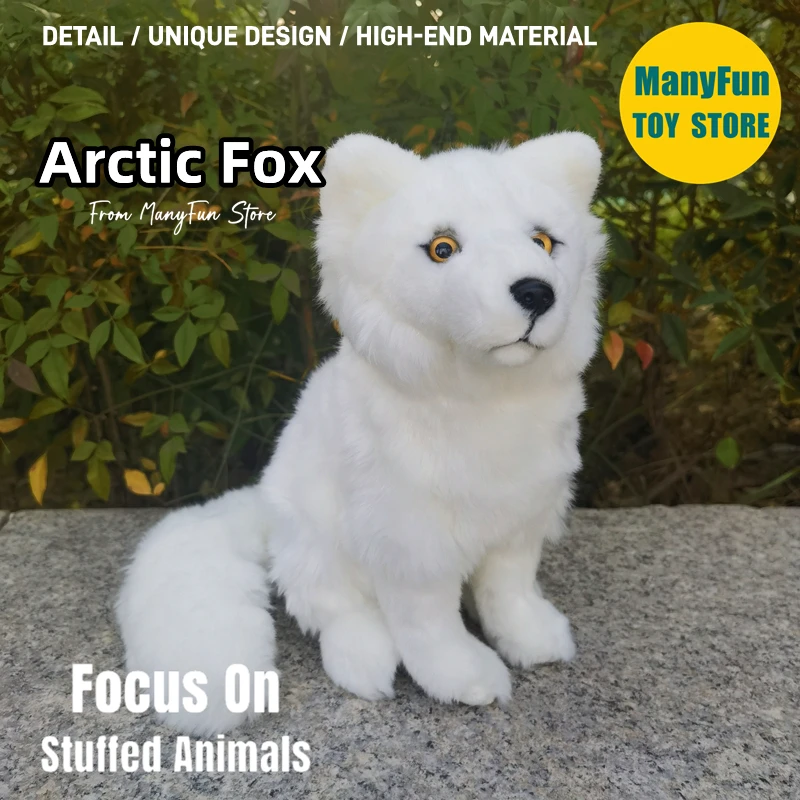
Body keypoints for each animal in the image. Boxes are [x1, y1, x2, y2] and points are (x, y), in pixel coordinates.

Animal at [116, 131, 606, 734]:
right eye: (442, 249)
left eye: (543, 241)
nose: (536, 292)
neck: (484, 400)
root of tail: (263, 506)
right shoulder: (410, 544)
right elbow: (429, 626)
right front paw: (463, 678)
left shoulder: (520, 522)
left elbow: (507, 590)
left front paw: (530, 638)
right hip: (318, 548)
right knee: (336, 612)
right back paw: (364, 661)